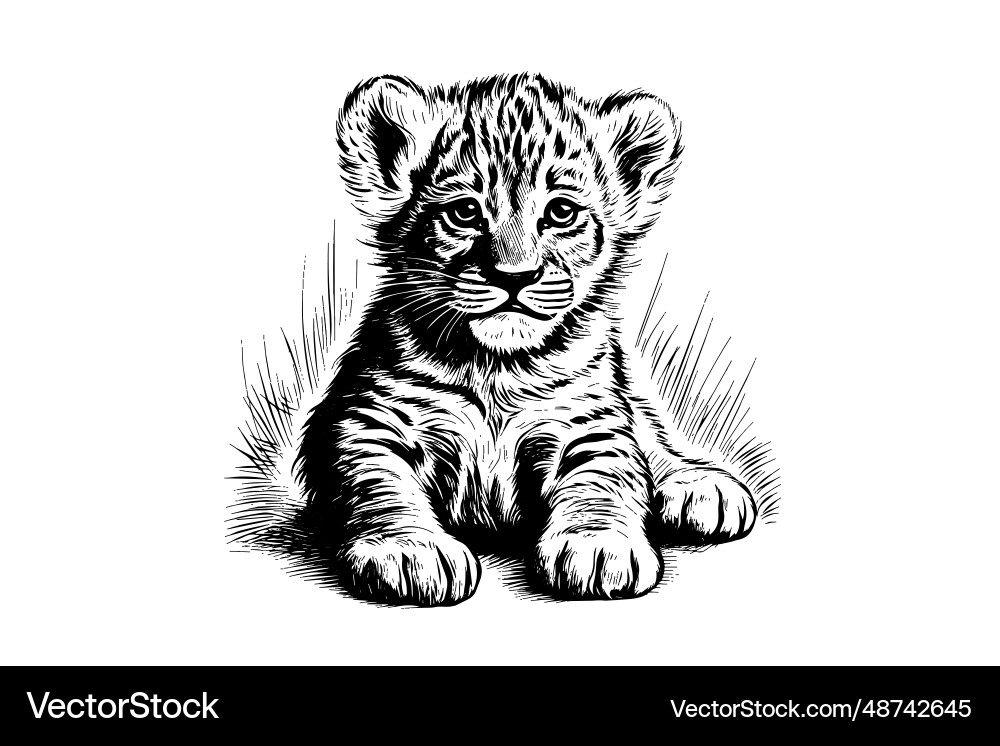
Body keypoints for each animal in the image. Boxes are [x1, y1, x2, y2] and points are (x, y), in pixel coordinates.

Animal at [295, 73, 757, 605]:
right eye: (465, 212)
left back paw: (701, 486)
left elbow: (603, 476)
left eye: (561, 212)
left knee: (650, 435)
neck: (500, 367)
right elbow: (378, 481)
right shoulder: (368, 419)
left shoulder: (588, 422)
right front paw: (411, 552)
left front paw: (597, 547)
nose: (514, 276)